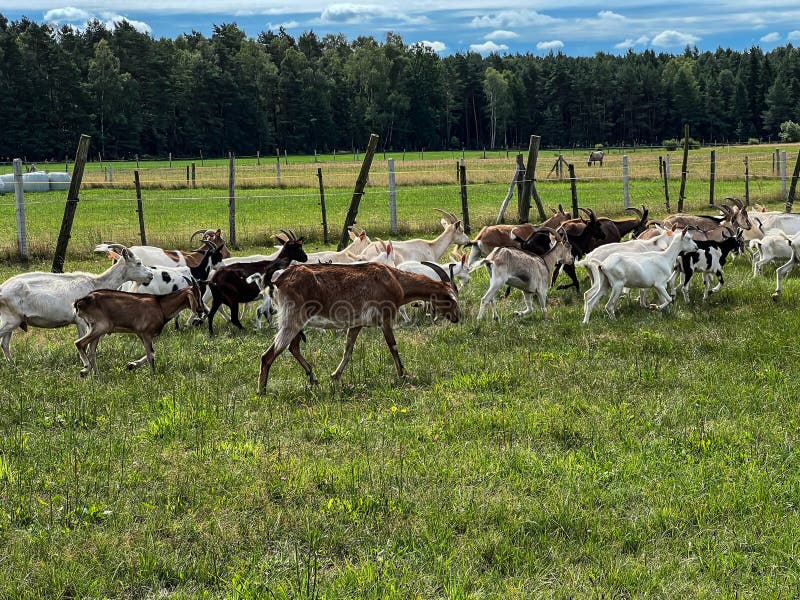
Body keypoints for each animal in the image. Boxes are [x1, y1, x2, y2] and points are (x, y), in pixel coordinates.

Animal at [0, 244, 153, 361]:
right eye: (138, 263)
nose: (150, 275)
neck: (96, 283)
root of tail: (2, 289)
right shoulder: (81, 321)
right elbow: (84, 344)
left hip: (14, 321)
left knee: (5, 344)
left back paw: (13, 365)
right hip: (11, 319)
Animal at [73, 284, 207, 376]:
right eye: (198, 296)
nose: (202, 310)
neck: (161, 306)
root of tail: (81, 301)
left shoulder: (142, 334)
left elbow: (151, 353)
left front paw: (131, 365)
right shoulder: (146, 333)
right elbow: (151, 354)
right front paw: (153, 375)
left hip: (95, 328)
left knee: (91, 352)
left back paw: (96, 375)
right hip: (101, 326)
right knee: (79, 343)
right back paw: (85, 369)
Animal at [257, 262, 459, 393]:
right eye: (449, 299)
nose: (457, 317)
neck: (395, 280)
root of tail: (277, 282)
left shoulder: (356, 324)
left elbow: (348, 350)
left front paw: (335, 376)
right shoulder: (385, 317)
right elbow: (393, 346)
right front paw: (402, 374)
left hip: (296, 321)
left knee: (293, 347)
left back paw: (313, 377)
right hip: (293, 318)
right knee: (268, 355)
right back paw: (262, 391)